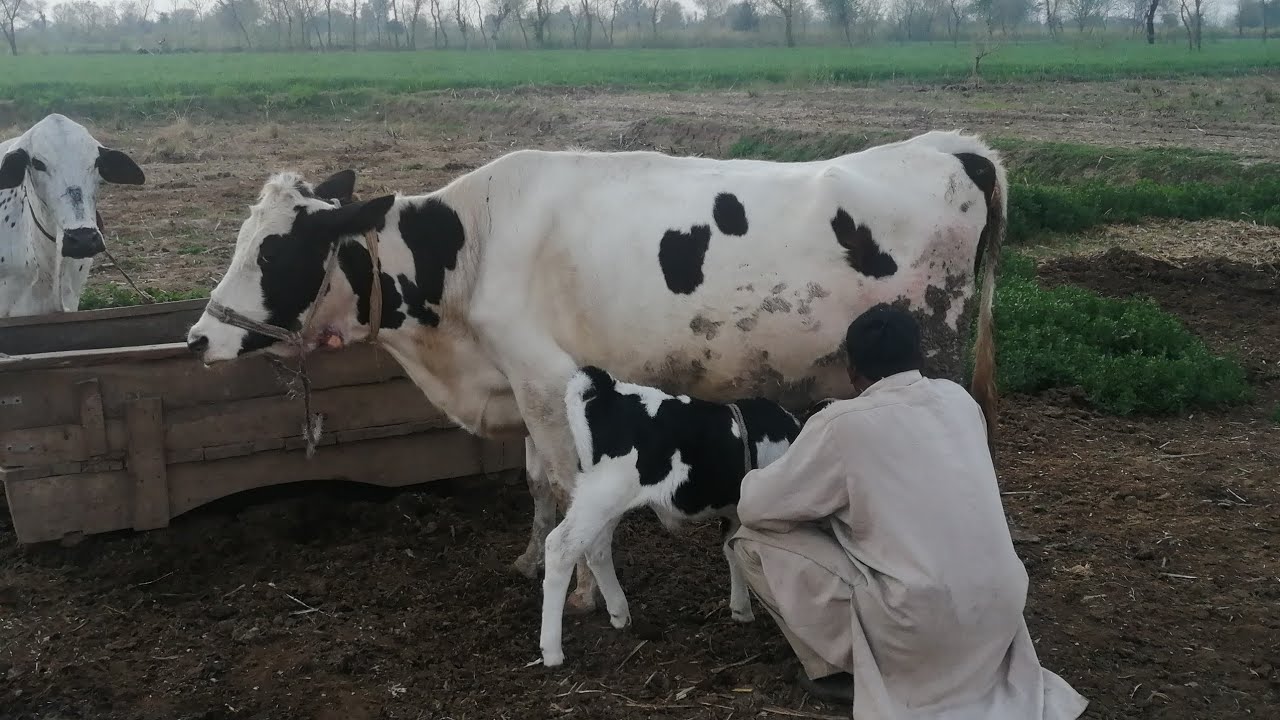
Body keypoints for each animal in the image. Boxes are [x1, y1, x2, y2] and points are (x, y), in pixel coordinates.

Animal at [184, 130, 1006, 616]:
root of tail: (955, 148)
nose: (197, 338)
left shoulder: (549, 380)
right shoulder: (523, 382)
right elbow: (539, 485)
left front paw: (578, 588)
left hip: (932, 357)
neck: (472, 247)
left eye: (273, 251)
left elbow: (568, 488)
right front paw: (527, 559)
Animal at [540, 364, 835, 666]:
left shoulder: (735, 511)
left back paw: (620, 613)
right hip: (602, 495)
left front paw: (741, 610)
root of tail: (607, 387)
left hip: (604, 500)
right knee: (559, 548)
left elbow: (731, 549)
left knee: (596, 549)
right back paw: (552, 652)